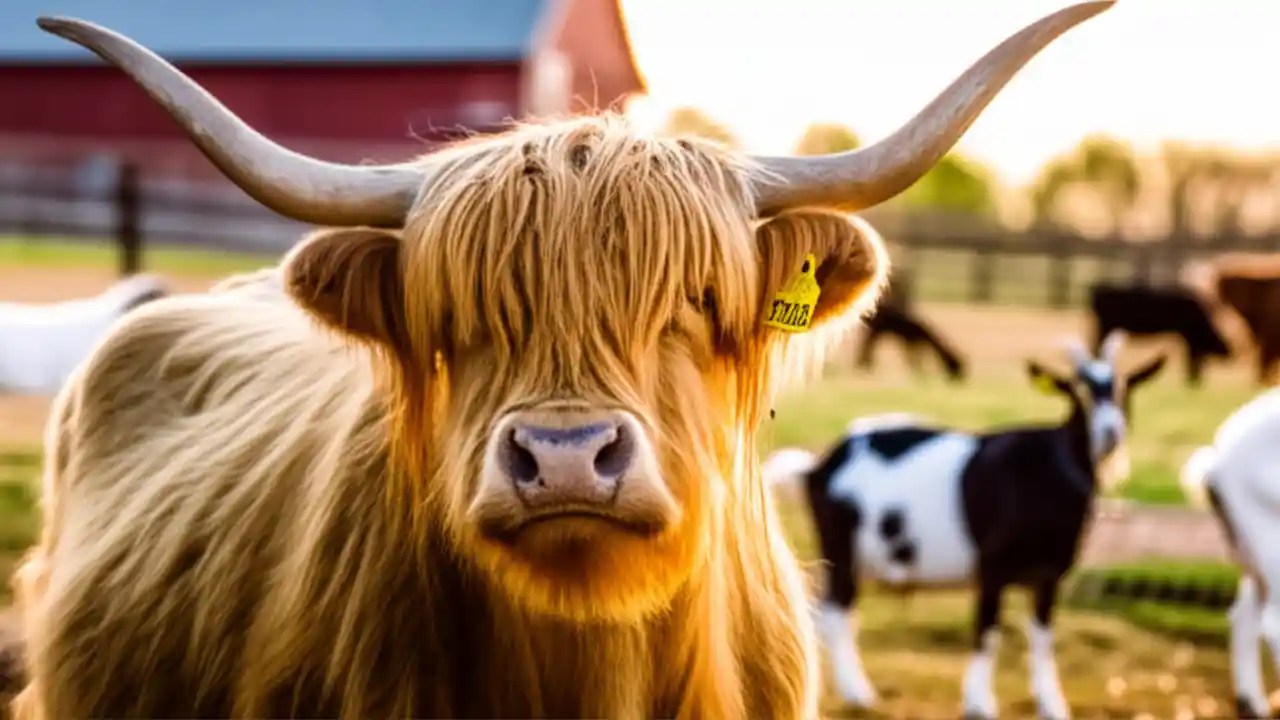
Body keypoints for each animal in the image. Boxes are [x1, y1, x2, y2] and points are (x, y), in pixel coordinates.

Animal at [763, 331, 1167, 720]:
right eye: (1076, 393)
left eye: (1125, 390)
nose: (1111, 433)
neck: (1048, 469)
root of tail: (818, 468)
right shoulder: (992, 567)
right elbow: (987, 632)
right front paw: (979, 703)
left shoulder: (1049, 575)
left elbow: (1042, 637)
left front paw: (1052, 705)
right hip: (841, 546)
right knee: (837, 613)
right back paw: (857, 694)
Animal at [1087, 280, 1231, 386]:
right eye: (1220, 341)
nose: (1230, 353)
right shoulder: (1188, 336)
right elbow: (1191, 358)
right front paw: (1192, 381)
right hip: (1104, 327)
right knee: (1095, 346)